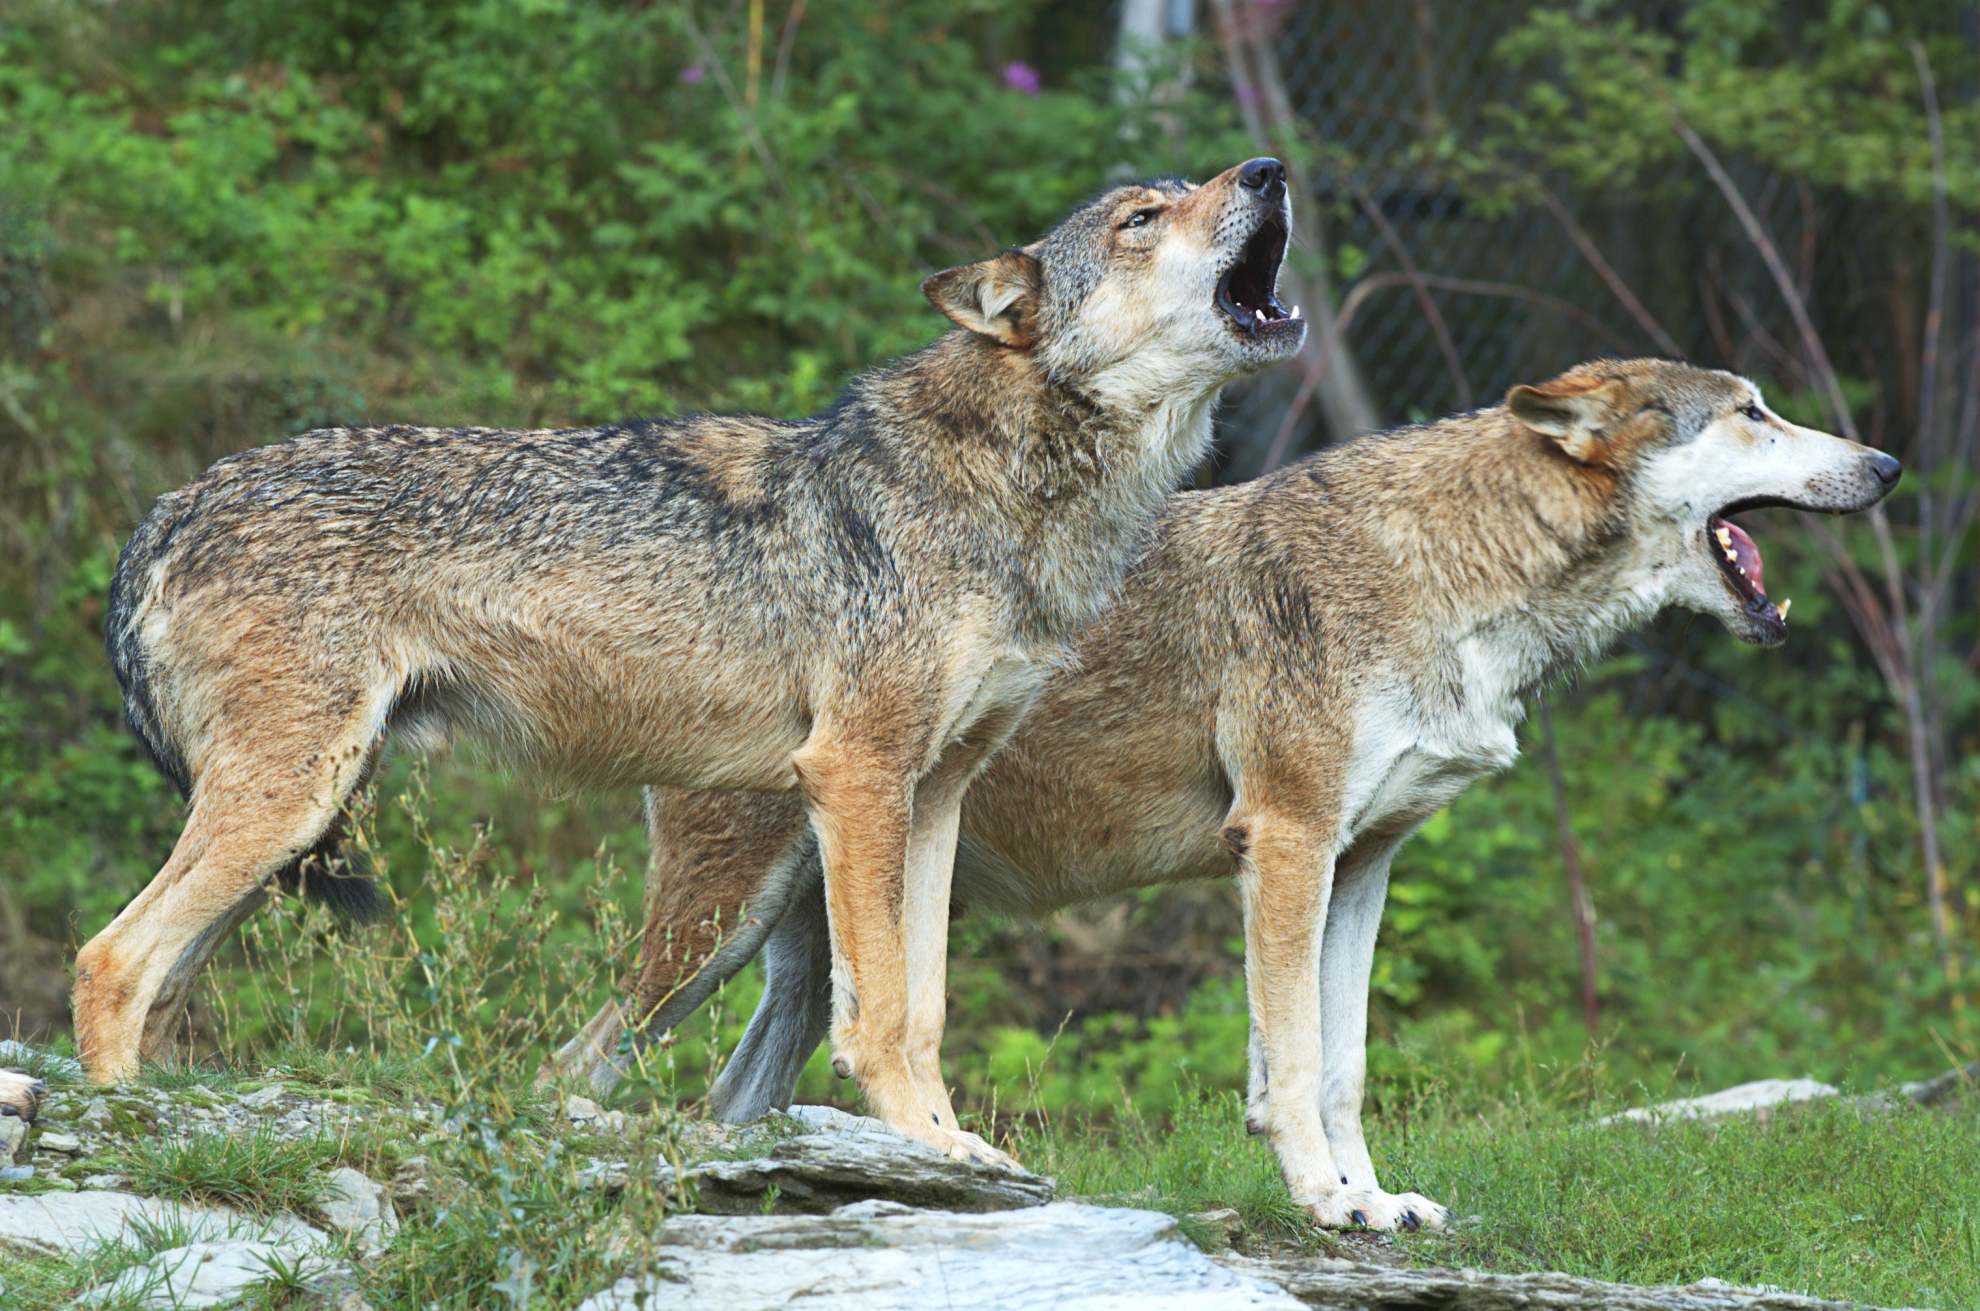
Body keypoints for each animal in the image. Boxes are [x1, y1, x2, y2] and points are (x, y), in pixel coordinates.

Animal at [80, 158, 1309, 1164]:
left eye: (1190, 187)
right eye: (1140, 218)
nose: (1269, 168)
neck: (1016, 496)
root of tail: (173, 504)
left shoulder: (936, 791)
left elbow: (923, 1008)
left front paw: (959, 1146)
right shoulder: (857, 773)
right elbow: (876, 1014)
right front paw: (923, 1146)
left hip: (299, 829)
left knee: (161, 978)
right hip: (299, 806)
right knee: (108, 961)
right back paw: (122, 1128)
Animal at [553, 359, 1900, 1224]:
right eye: (1754, 412)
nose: (1888, 462)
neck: (1449, 579)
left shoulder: (1364, 864)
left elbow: (1345, 1065)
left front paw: (1374, 1202)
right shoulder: (1289, 843)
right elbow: (1293, 1066)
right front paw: (1321, 1205)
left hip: (787, 960)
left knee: (740, 1097)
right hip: (709, 938)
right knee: (579, 1064)